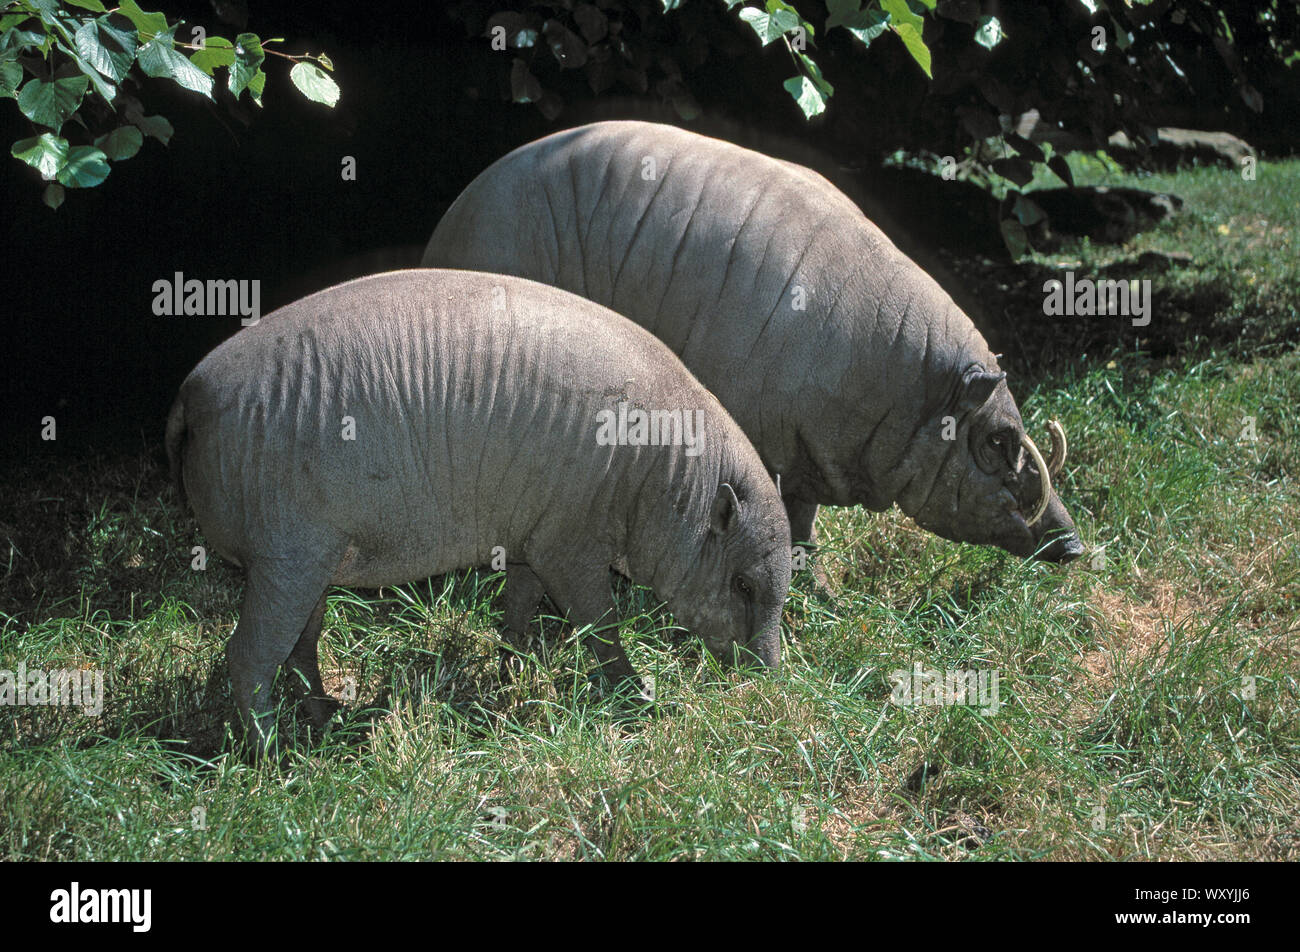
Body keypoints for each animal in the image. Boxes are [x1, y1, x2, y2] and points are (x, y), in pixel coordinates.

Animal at [166, 269, 791, 747]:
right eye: (742, 585)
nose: (769, 682)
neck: (661, 477)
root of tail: (191, 391)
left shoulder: (531, 539)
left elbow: (518, 607)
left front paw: (514, 669)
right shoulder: (569, 547)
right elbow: (601, 625)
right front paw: (638, 701)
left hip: (315, 563)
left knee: (300, 648)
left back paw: (328, 719)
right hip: (287, 558)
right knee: (248, 656)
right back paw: (274, 755)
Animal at [422, 121, 1085, 573]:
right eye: (996, 442)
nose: (1075, 544)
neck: (902, 387)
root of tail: (443, 231)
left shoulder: (811, 454)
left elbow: (804, 518)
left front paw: (815, 582)